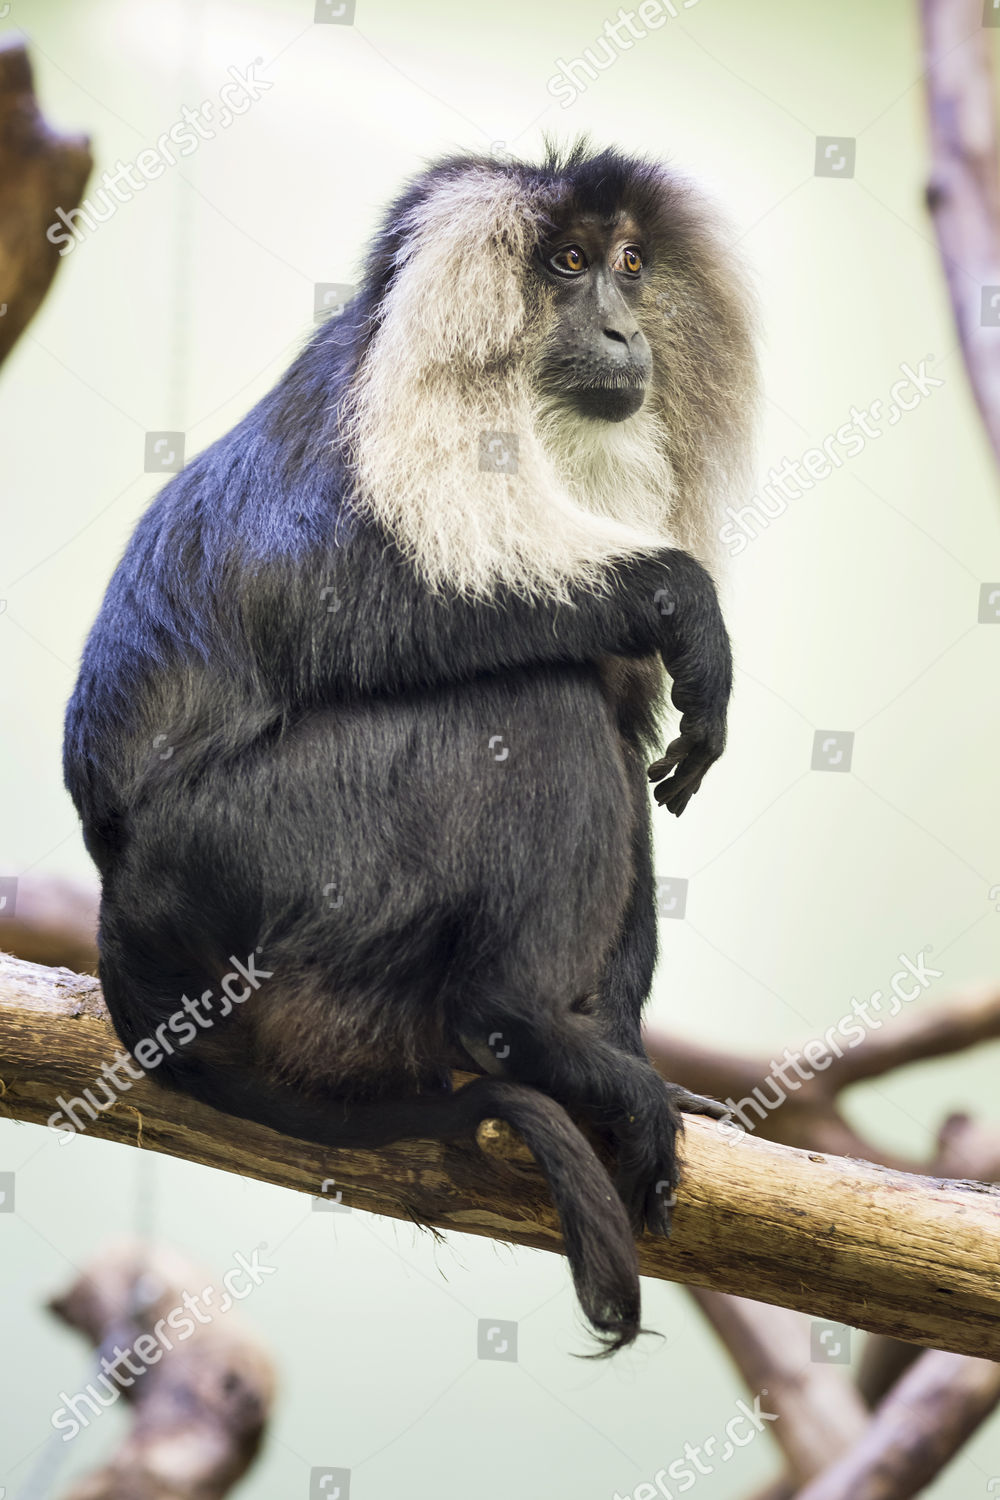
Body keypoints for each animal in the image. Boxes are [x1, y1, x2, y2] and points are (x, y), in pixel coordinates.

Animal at [63, 140, 757, 1354]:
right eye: (567, 264)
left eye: (631, 264)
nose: (623, 329)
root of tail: (122, 933)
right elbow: (367, 607)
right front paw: (682, 602)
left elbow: (629, 737)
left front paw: (639, 1067)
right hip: (271, 857)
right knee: (536, 696)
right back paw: (516, 1028)